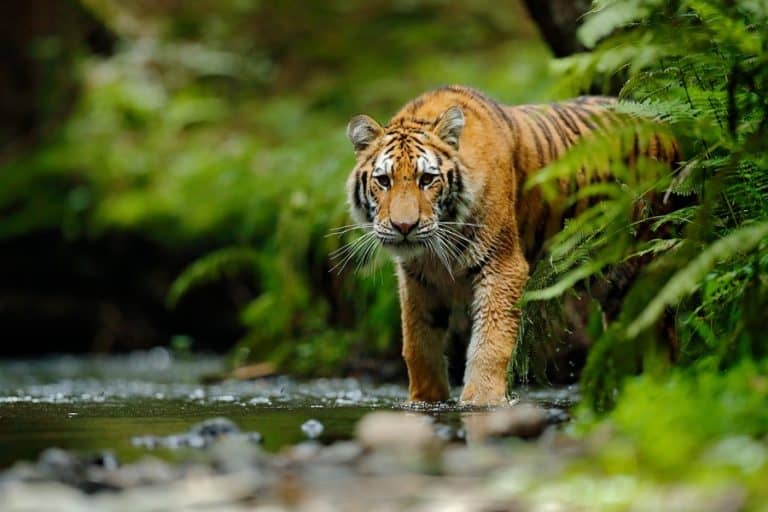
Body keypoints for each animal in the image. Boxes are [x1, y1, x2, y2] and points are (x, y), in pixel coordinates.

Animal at [344, 85, 679, 405]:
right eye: (384, 181)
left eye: (427, 179)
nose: (404, 227)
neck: (435, 252)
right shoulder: (419, 281)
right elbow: (418, 346)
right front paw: (424, 401)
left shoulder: (502, 266)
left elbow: (490, 344)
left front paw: (480, 401)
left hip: (646, 270)